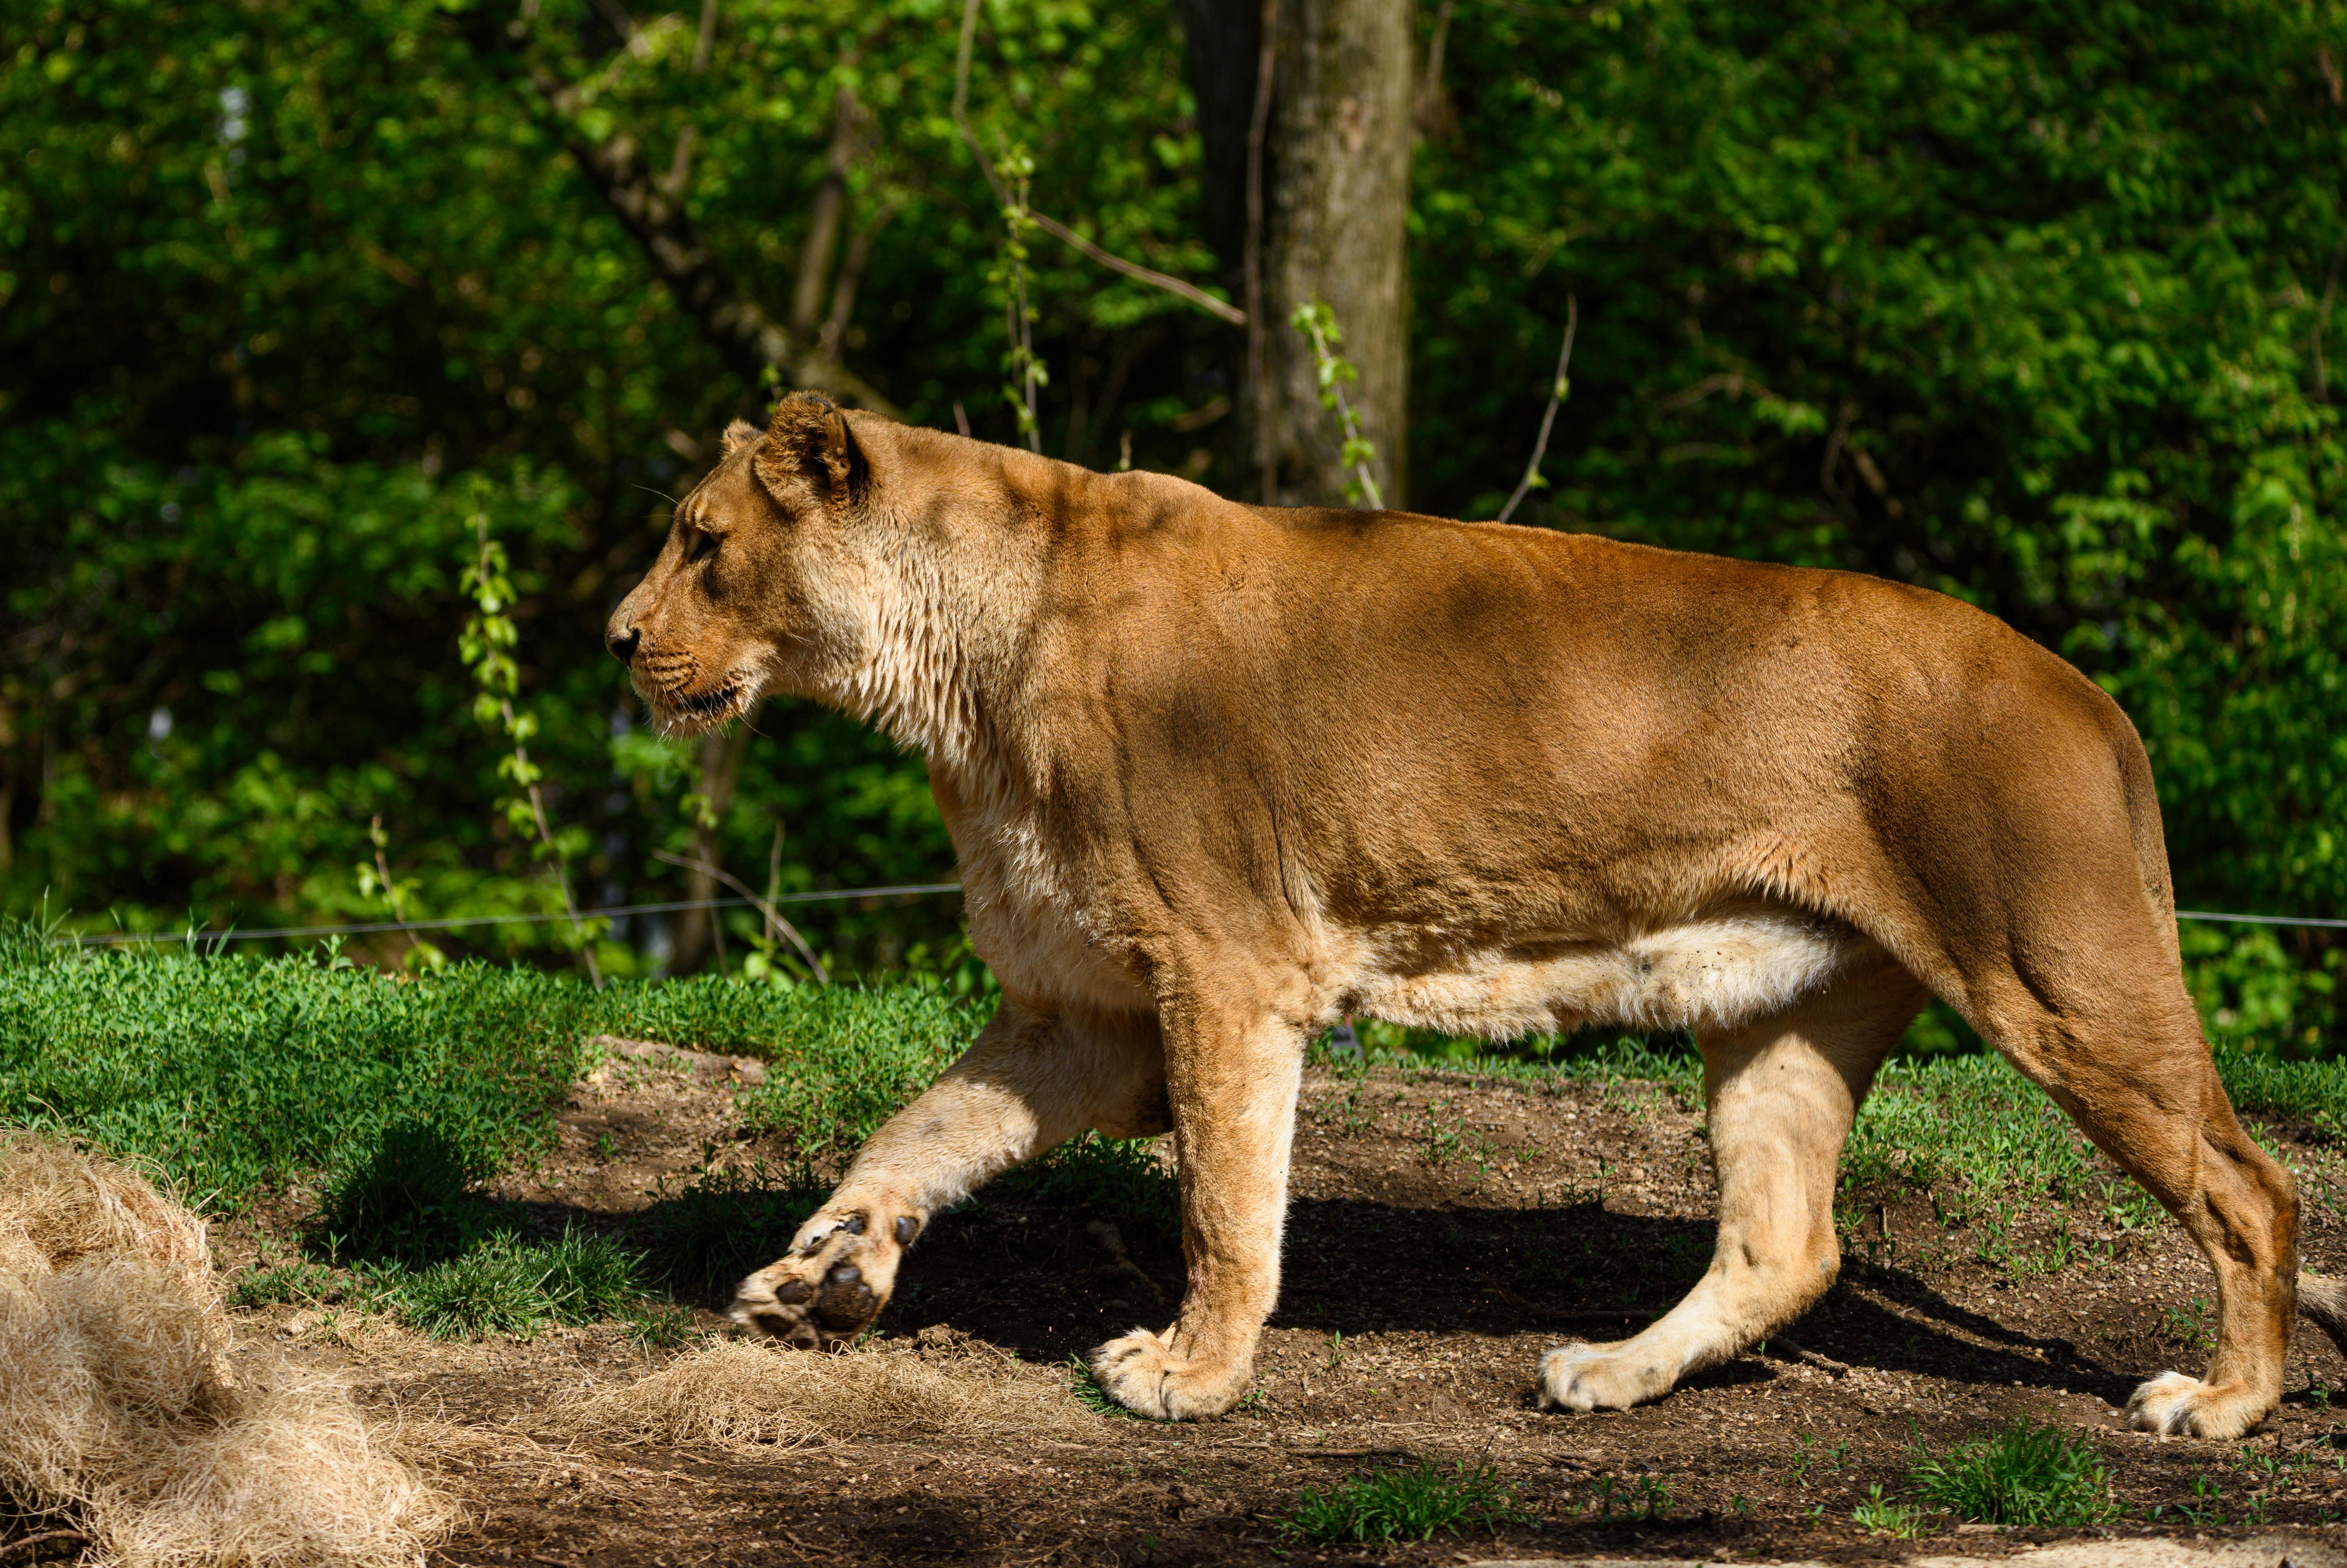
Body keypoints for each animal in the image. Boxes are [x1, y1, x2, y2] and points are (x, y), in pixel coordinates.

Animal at [607, 391, 2347, 1436]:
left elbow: (1225, 1202)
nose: (618, 636)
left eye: (702, 541)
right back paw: (1607, 1370)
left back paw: (2222, 1404)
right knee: (1783, 1239)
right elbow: (911, 1131)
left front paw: (1191, 1372)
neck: (958, 677)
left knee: (2253, 1189)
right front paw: (823, 1271)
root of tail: (2087, 693)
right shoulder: (1081, 1004)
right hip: (1783, 1007)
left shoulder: (1225, 967)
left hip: (2057, 972)